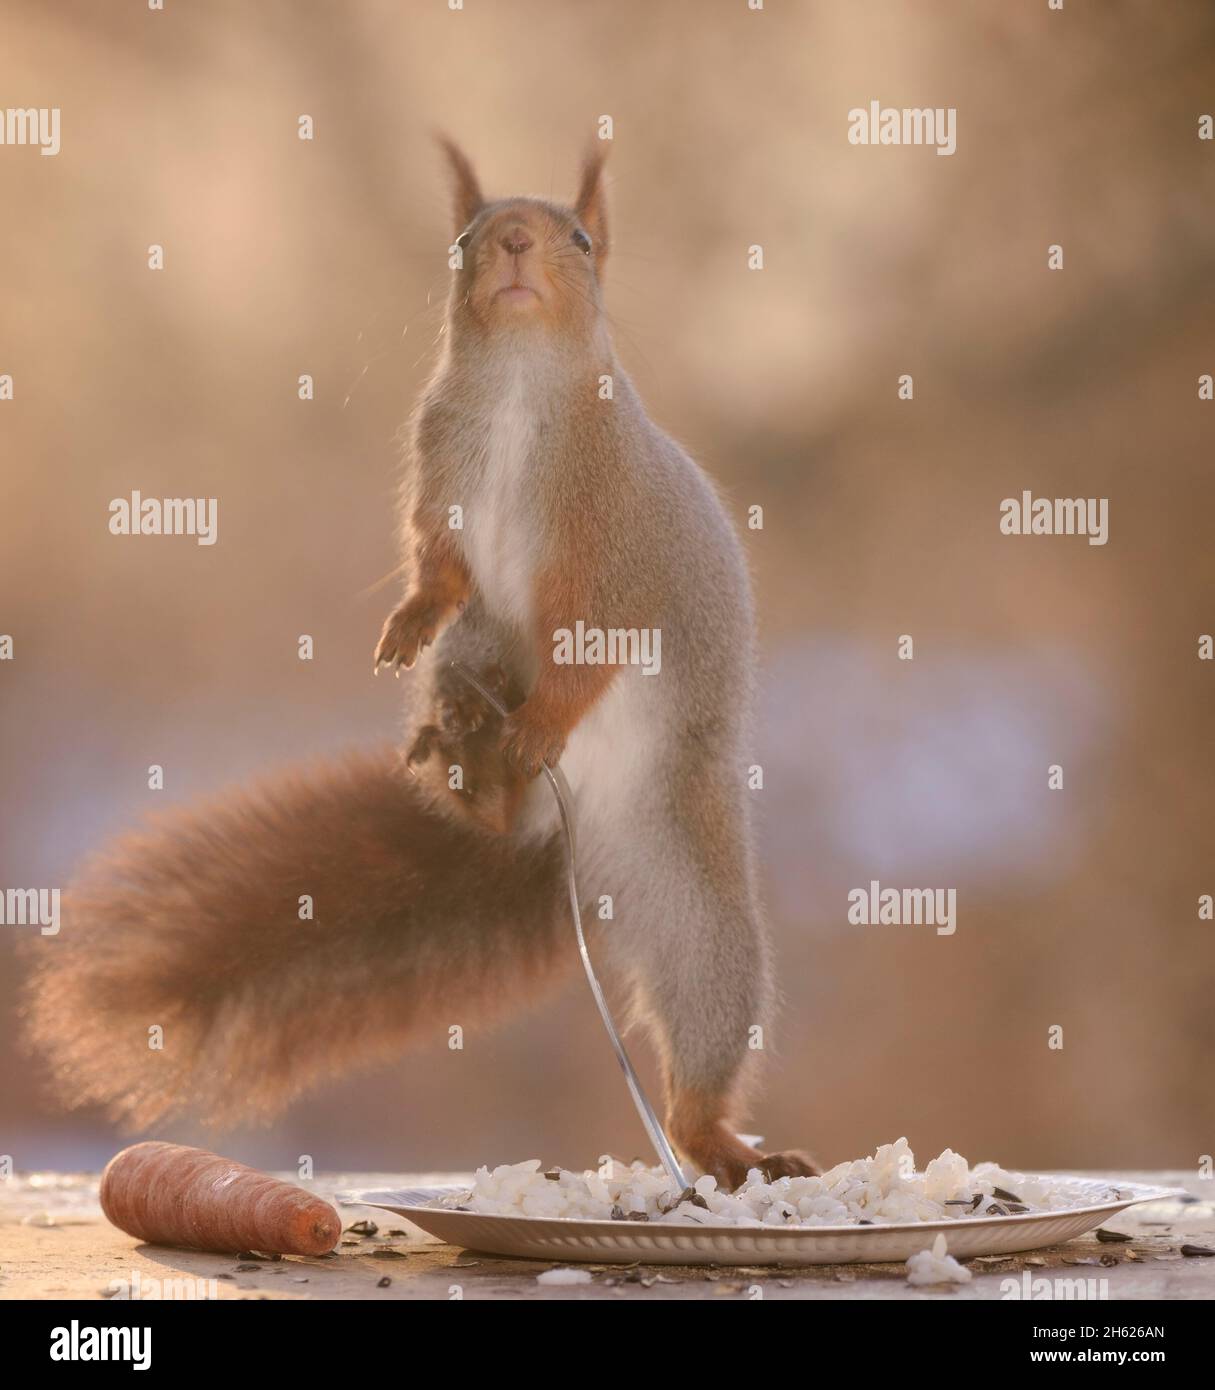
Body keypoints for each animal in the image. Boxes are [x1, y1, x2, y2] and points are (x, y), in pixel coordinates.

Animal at [23, 140, 816, 1190]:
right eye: (464, 235)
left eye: (579, 238)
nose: (514, 239)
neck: (518, 388)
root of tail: (570, 842)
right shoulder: (441, 474)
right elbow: (440, 567)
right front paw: (406, 618)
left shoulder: (613, 543)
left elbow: (590, 642)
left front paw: (544, 715)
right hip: (483, 648)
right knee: (470, 702)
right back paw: (465, 758)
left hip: (696, 907)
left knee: (701, 1032)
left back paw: (720, 1140)